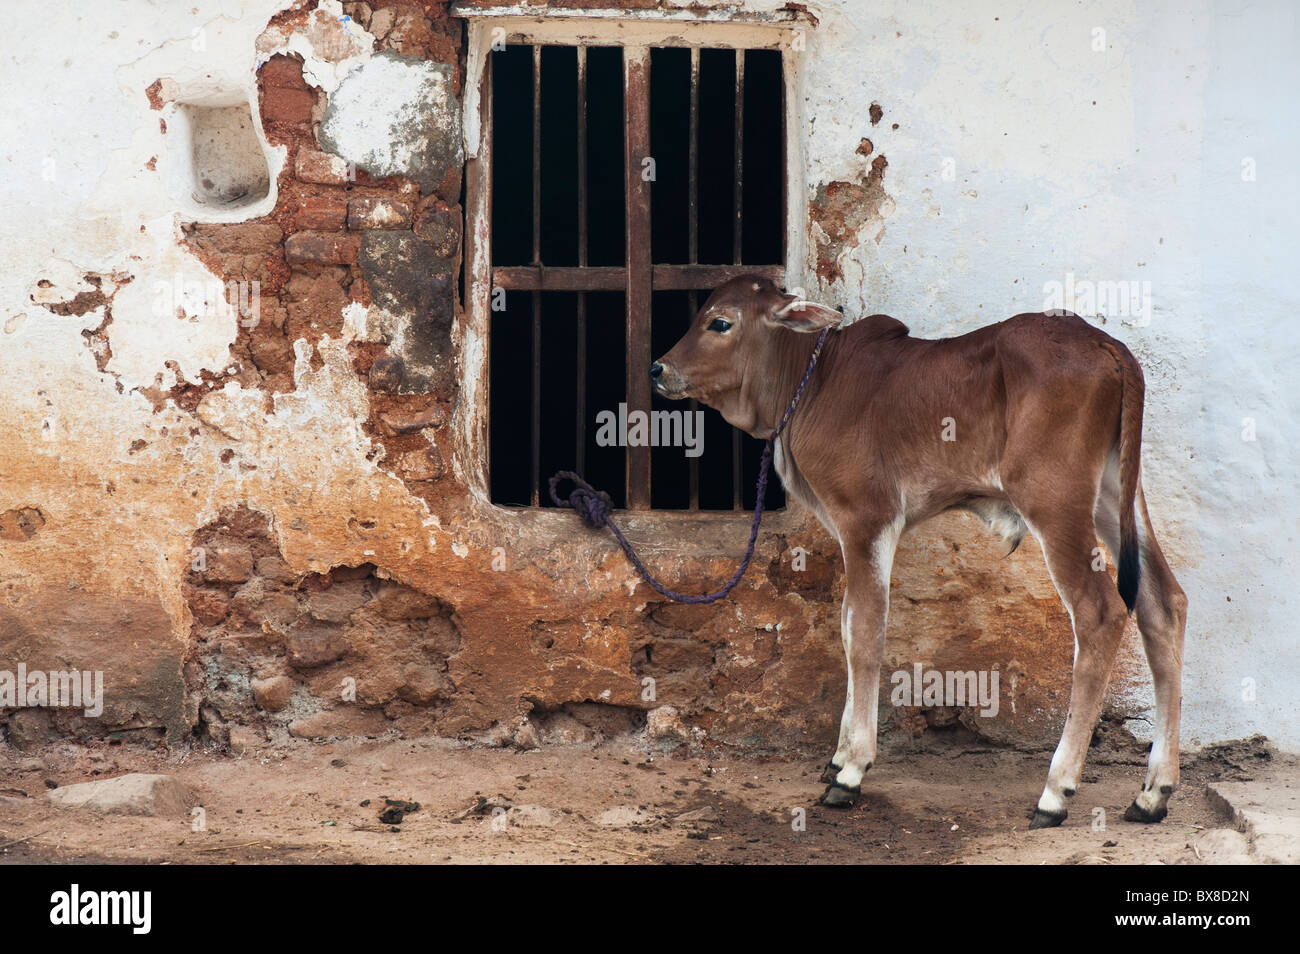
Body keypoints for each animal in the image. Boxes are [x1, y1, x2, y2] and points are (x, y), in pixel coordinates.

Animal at [650, 276, 1187, 828]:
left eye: (720, 322)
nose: (658, 369)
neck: (814, 383)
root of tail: (1108, 345)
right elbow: (848, 626)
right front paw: (838, 757)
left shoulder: (867, 519)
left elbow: (865, 633)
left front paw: (852, 771)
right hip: (1113, 493)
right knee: (1162, 604)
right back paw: (1153, 792)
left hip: (1054, 501)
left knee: (1099, 613)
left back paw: (1055, 793)